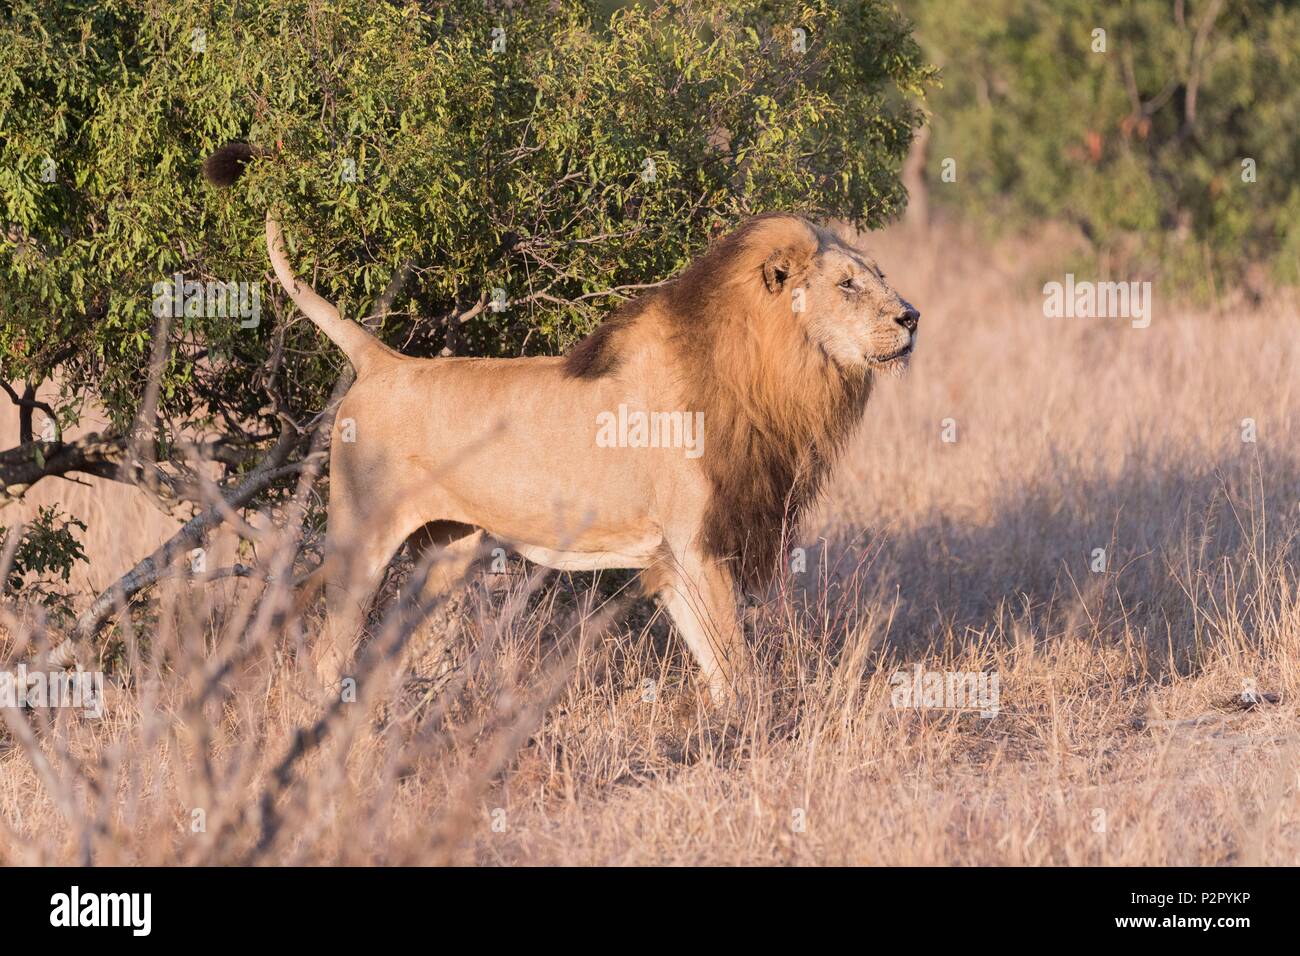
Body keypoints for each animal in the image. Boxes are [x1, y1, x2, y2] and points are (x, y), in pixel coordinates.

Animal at [203, 142, 919, 704]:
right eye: (849, 285)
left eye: (878, 276)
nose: (911, 316)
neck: (776, 374)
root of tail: (384, 361)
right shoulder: (696, 544)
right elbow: (736, 665)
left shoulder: (674, 556)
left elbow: (717, 666)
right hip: (362, 538)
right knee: (329, 657)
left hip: (447, 553)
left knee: (402, 649)